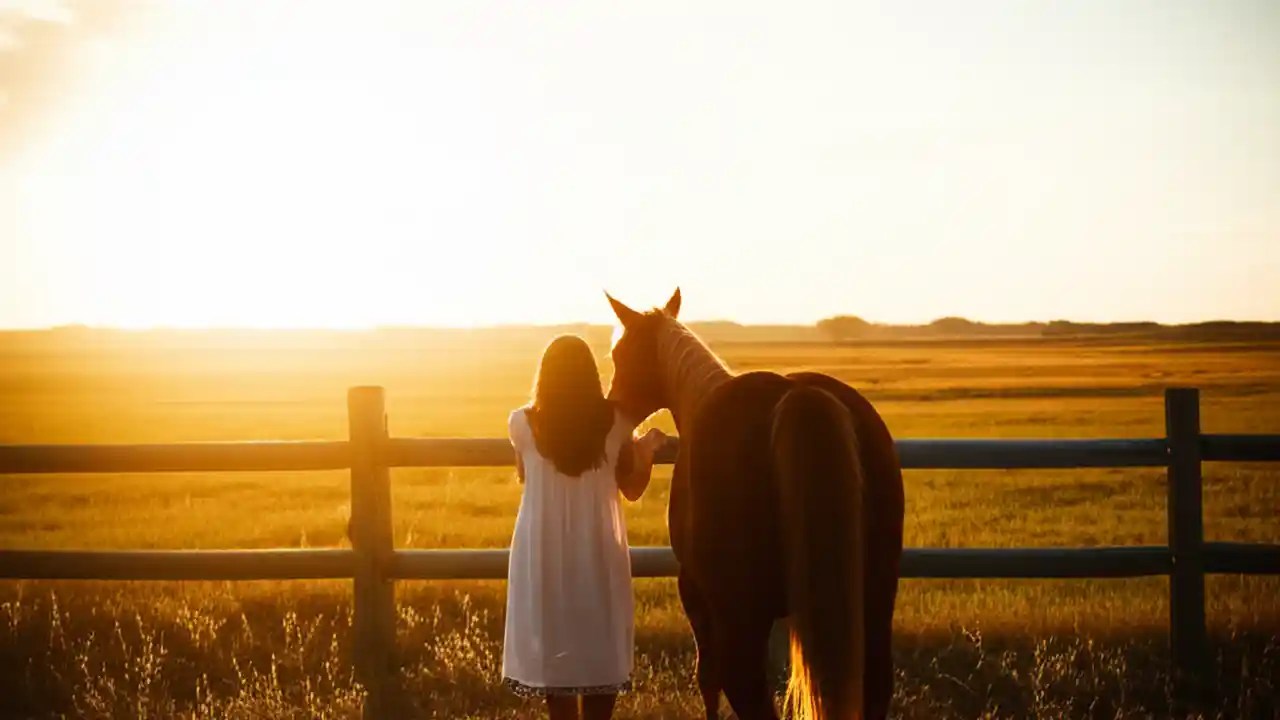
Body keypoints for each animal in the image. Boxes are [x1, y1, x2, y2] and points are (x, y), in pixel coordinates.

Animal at [605, 289, 903, 720]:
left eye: (620, 354)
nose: (612, 408)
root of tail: (798, 395)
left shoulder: (696, 594)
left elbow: (707, 678)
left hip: (742, 619)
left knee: (744, 688)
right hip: (875, 602)